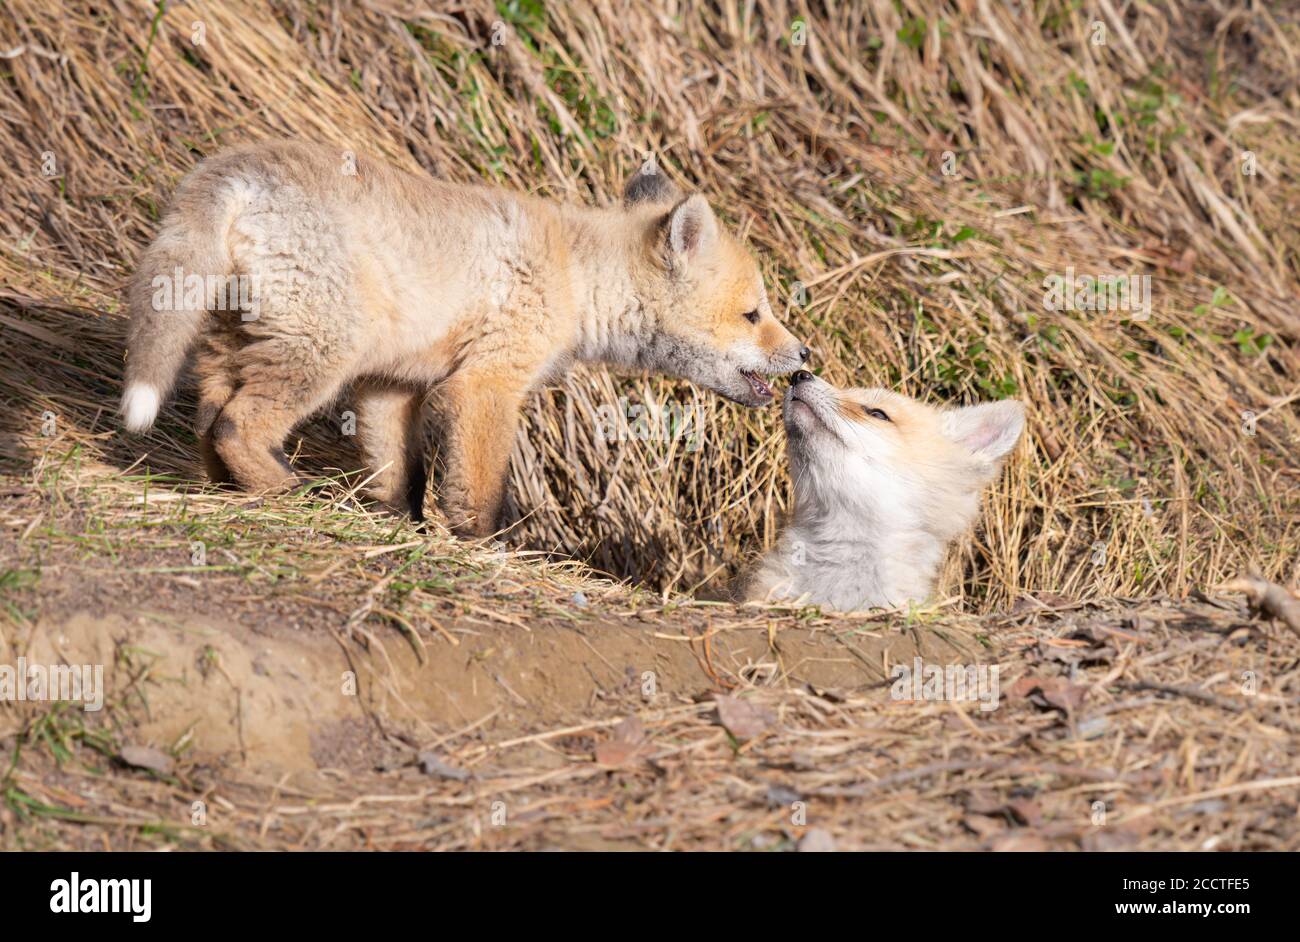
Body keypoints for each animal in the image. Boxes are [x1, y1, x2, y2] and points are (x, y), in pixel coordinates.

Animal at [120, 141, 807, 536]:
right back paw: (286, 492)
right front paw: (479, 542)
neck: (575, 273)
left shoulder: (390, 384)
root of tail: (236, 168)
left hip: (238, 337)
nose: (804, 357)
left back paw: (226, 489)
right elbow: (480, 487)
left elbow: (400, 476)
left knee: (210, 417)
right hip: (320, 352)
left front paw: (398, 525)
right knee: (238, 424)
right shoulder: (486, 383)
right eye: (754, 314)